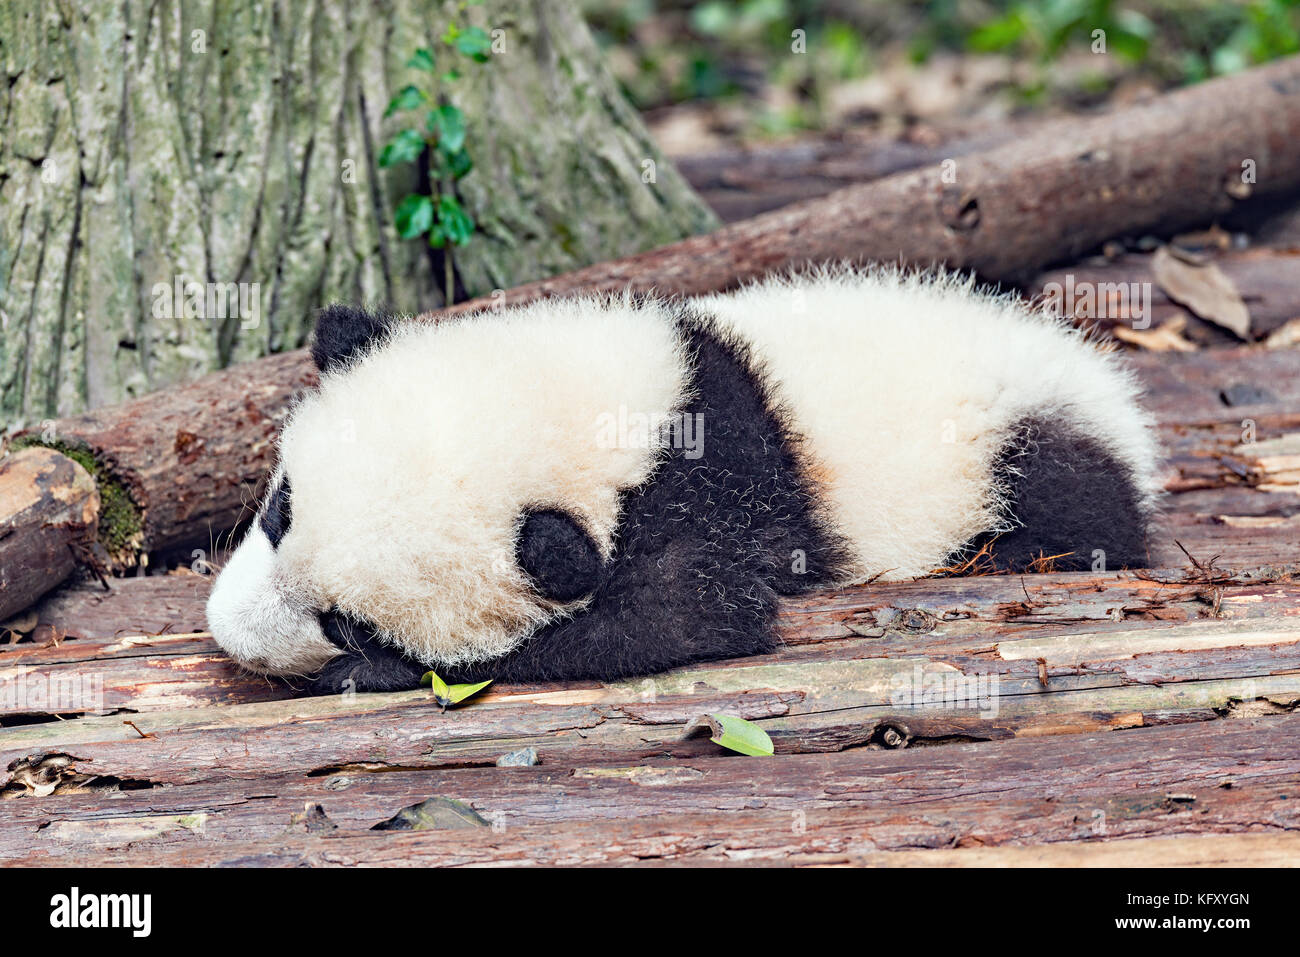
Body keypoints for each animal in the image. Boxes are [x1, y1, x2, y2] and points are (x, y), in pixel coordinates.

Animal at [206, 267, 1161, 695]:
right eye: (280, 510)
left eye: (347, 621)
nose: (230, 636)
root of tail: (1096, 375)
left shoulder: (696, 500)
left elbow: (684, 617)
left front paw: (370, 675)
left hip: (1011, 435)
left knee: (1069, 497)